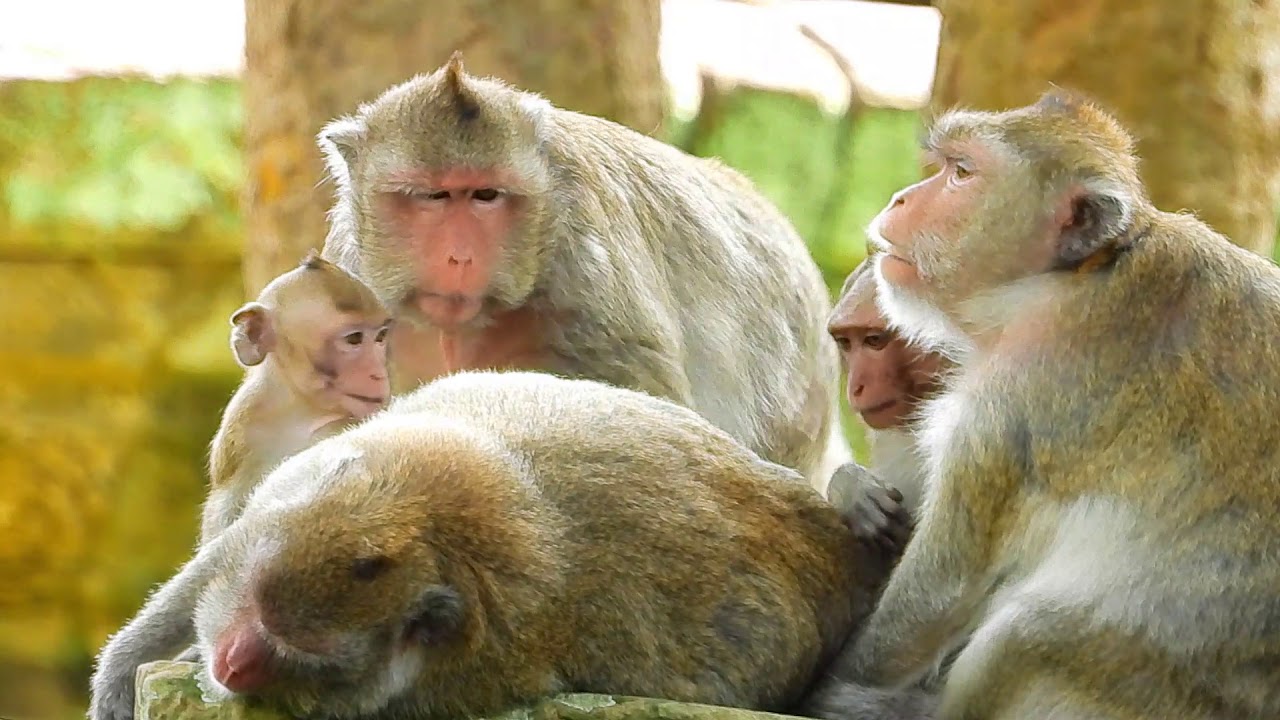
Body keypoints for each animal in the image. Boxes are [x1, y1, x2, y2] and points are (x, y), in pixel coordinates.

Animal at [88, 370, 912, 720]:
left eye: (303, 652)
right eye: (259, 612)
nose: (235, 661)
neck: (438, 523)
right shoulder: (286, 499)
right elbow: (208, 569)